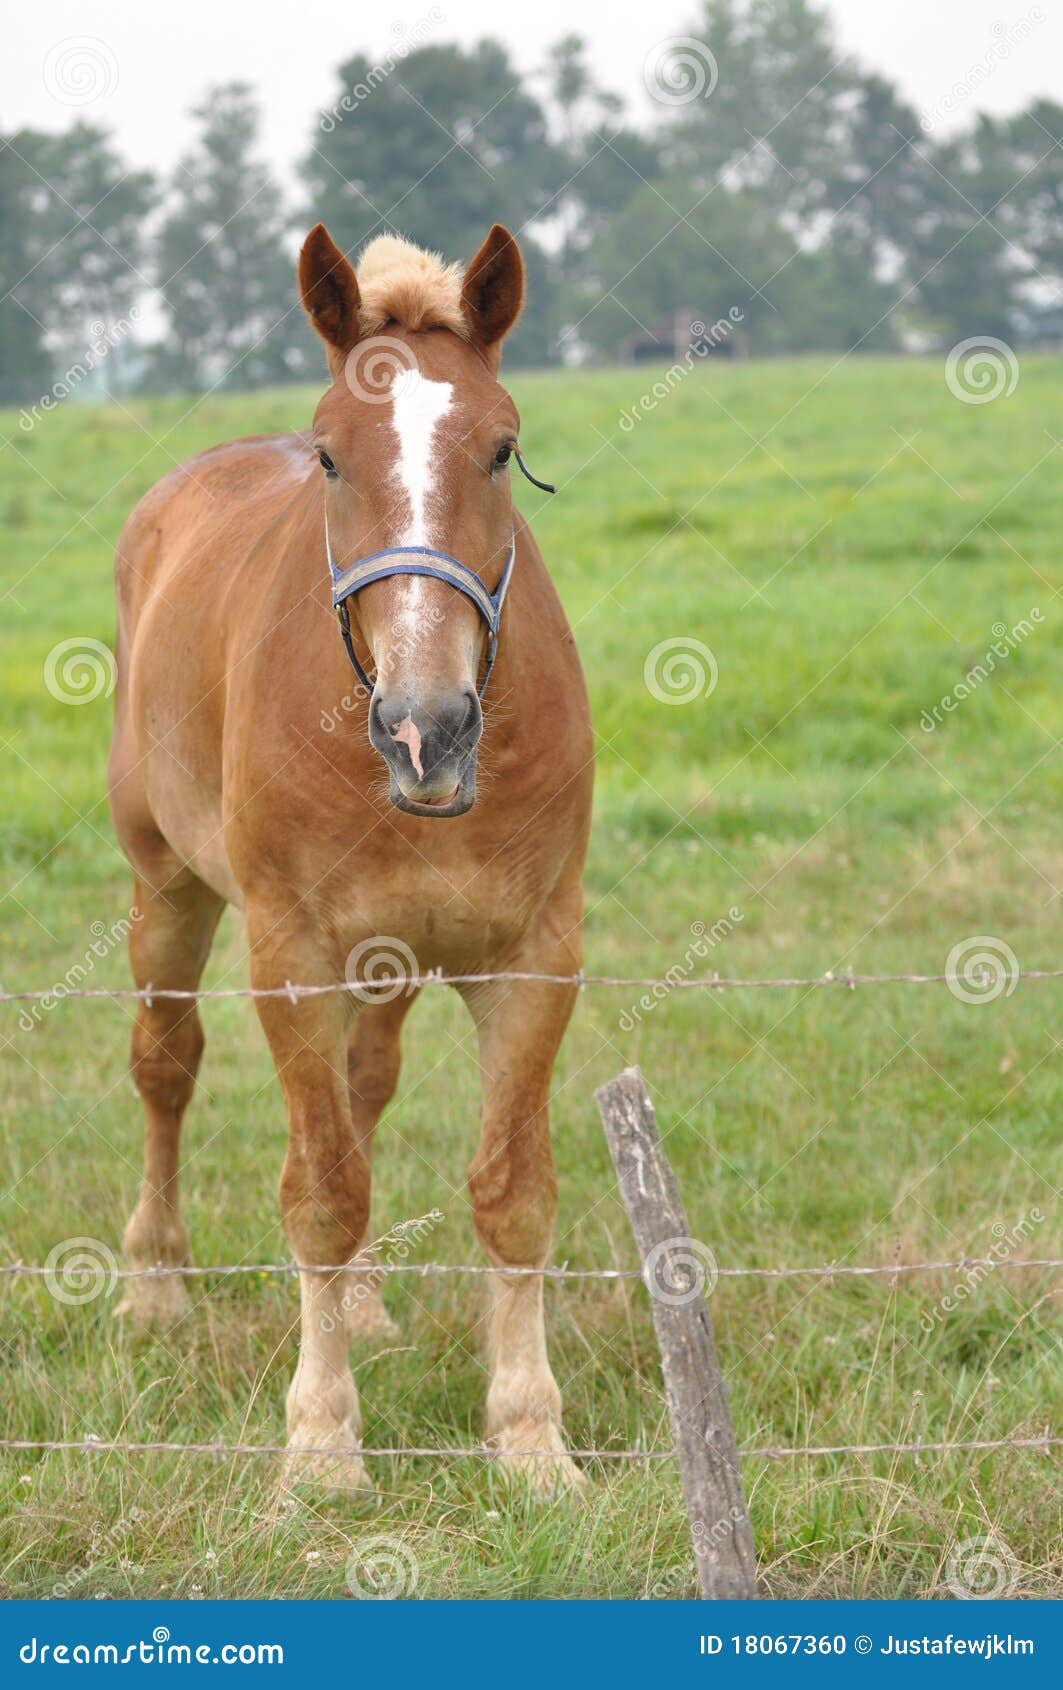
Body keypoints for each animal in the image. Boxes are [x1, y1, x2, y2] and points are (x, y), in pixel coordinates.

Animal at [107, 222, 593, 1491]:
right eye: (329, 457)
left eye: (502, 446)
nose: (428, 728)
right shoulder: (293, 957)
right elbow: (320, 1192)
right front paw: (322, 1444)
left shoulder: (534, 956)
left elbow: (512, 1192)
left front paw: (531, 1438)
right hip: (165, 887)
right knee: (164, 1064)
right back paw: (153, 1286)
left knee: (365, 1085)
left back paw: (367, 1306)